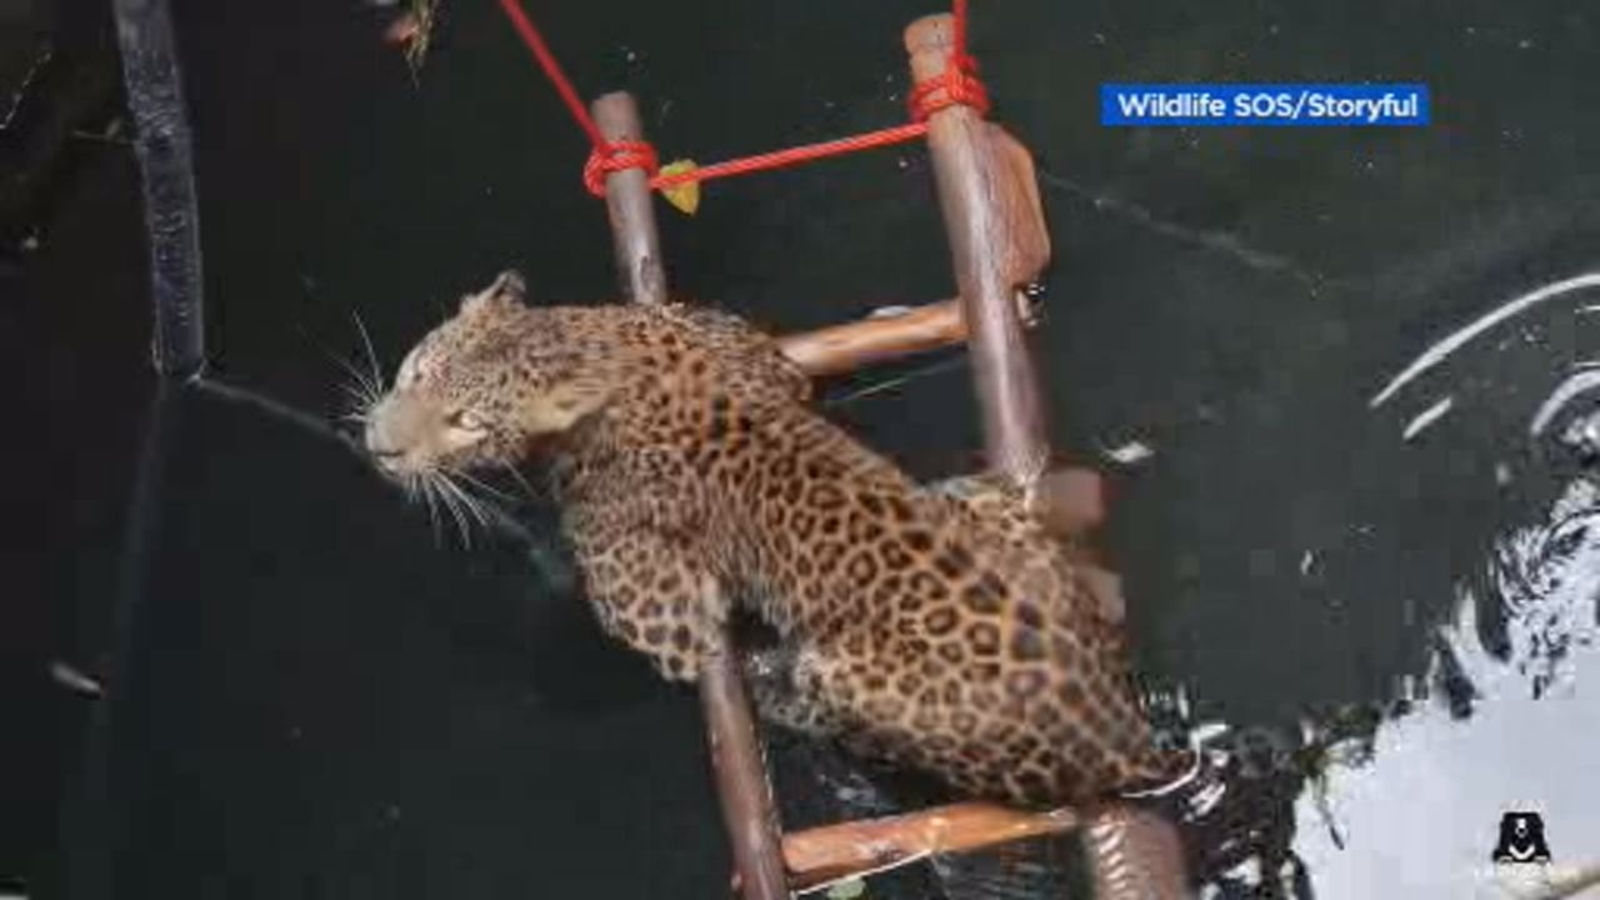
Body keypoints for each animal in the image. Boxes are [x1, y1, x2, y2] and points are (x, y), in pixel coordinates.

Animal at [361, 269, 1191, 808]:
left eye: (466, 421)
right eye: (418, 369)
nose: (379, 447)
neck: (598, 346)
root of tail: (1123, 733)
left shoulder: (658, 609)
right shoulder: (741, 342)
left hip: (849, 672)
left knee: (843, 719)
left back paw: (769, 680)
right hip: (980, 495)